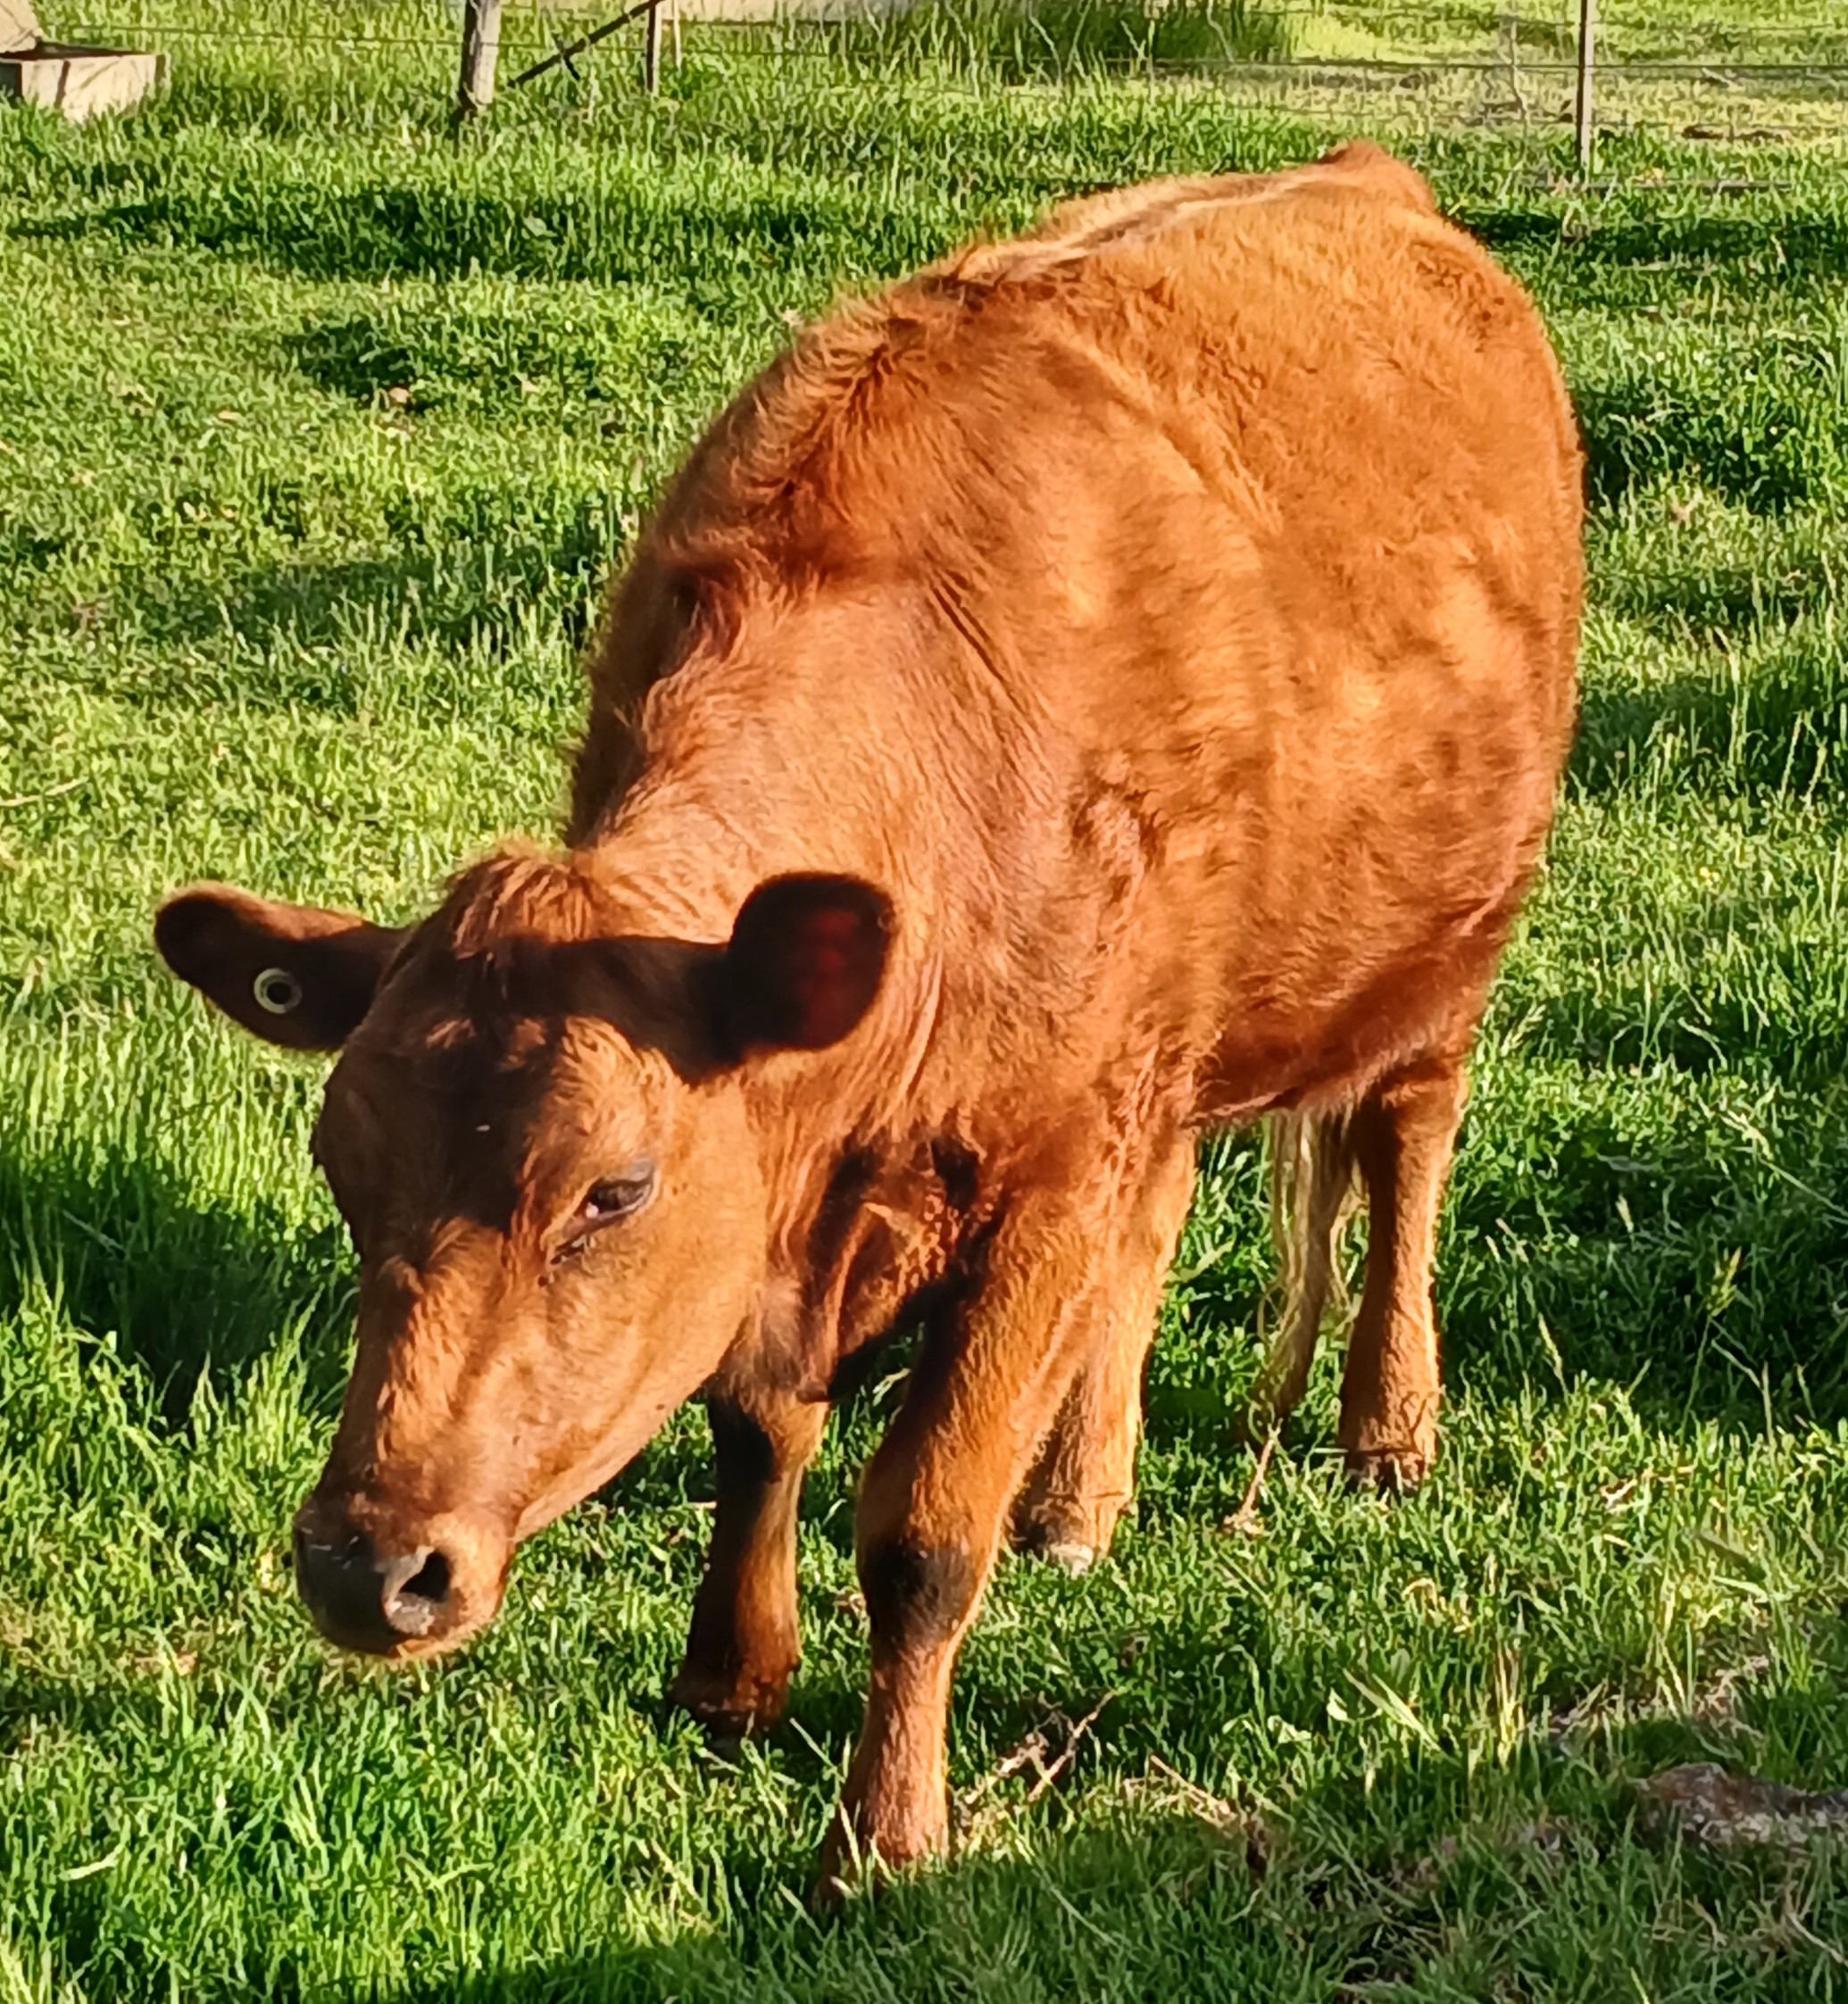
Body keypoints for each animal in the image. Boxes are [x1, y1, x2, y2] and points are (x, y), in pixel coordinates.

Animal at [153, 141, 1582, 1887]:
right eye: (343, 1172)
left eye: (609, 1191)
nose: (371, 1568)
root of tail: (1367, 175)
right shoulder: (827, 1189)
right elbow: (758, 1432)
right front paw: (731, 1677)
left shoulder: (1040, 1180)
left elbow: (919, 1537)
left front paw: (886, 1832)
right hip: (1165, 1067)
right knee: (1159, 1224)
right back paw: (1078, 1502)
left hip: (1448, 950)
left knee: (1404, 1150)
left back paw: (1385, 1425)